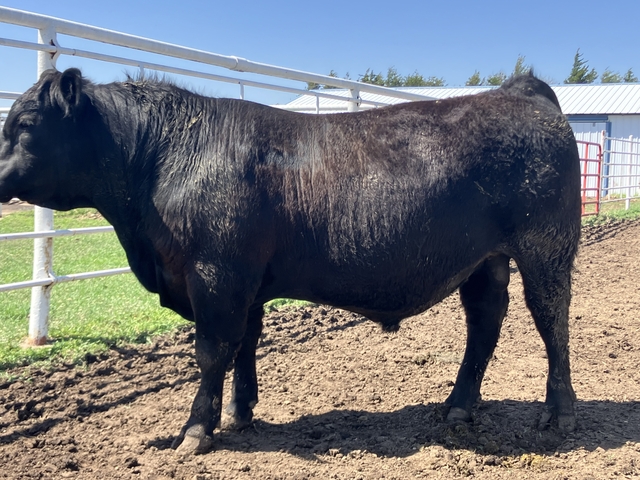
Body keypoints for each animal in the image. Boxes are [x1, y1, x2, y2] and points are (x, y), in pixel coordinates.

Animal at [0, 68, 581, 454]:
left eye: (25, 123)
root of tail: (520, 90)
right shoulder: (245, 283)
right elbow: (245, 345)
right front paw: (239, 414)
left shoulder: (216, 276)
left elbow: (211, 351)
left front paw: (195, 432)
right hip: (485, 260)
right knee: (484, 323)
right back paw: (458, 406)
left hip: (547, 248)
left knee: (552, 321)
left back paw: (558, 414)